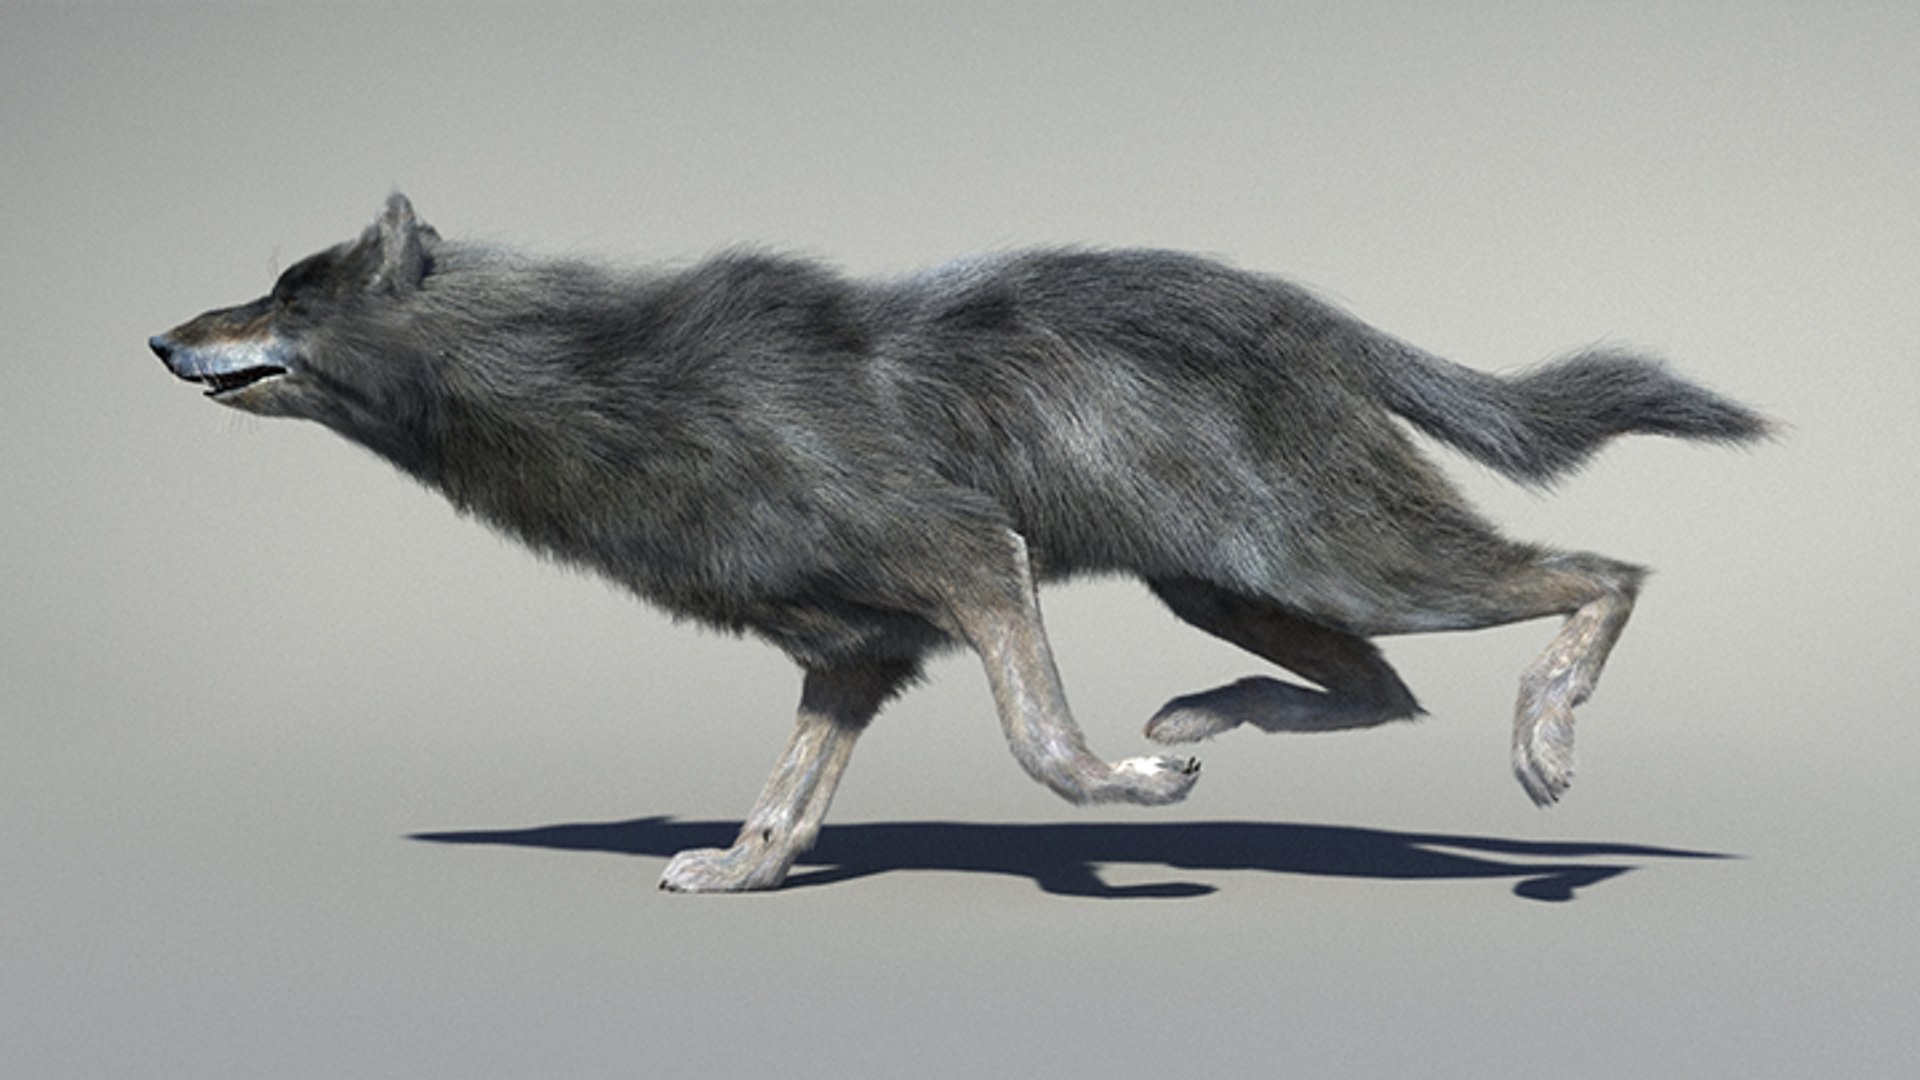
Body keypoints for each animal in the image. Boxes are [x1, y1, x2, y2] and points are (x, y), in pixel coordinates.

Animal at [152, 194, 1771, 892]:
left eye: (287, 294)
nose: (161, 337)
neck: (600, 380)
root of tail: (1314, 313)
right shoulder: (855, 654)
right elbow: (787, 795)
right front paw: (739, 873)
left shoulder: (970, 564)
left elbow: (1041, 747)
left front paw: (1126, 797)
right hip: (1230, 582)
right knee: (1385, 688)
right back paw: (1205, 715)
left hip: (1330, 559)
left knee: (1596, 576)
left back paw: (1545, 754)